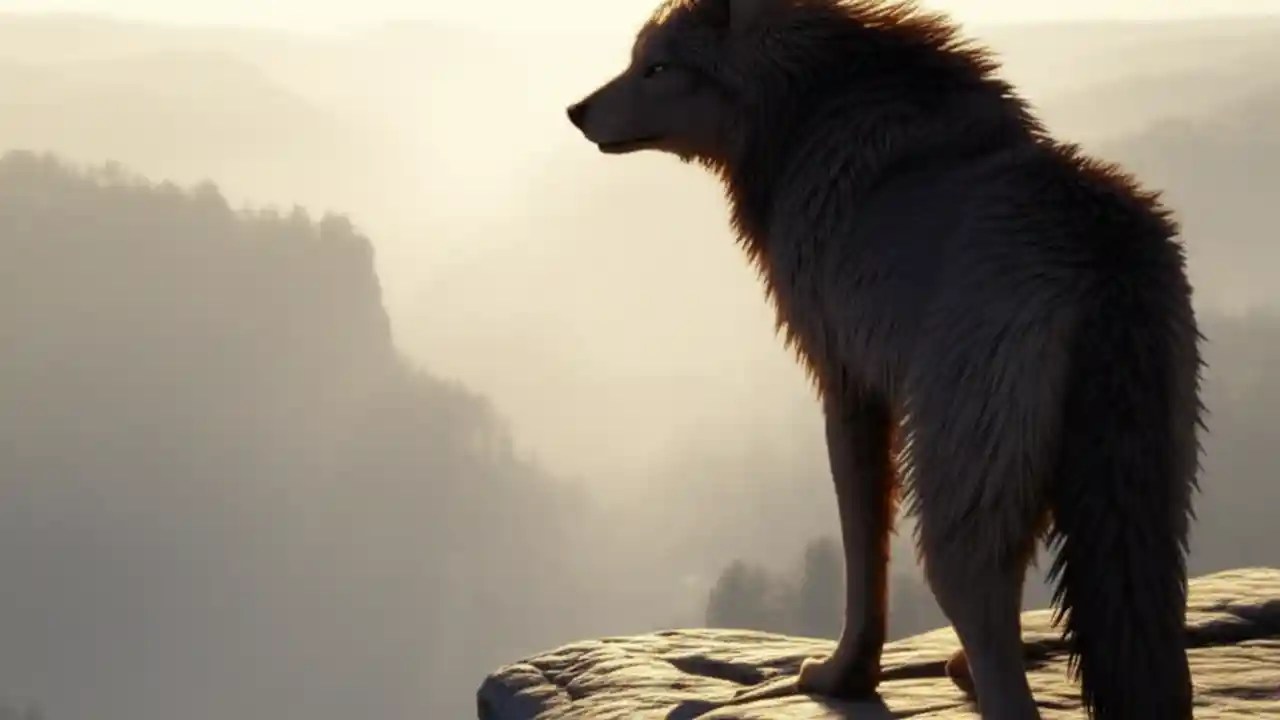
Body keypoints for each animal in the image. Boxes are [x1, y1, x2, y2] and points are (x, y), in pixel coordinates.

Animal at [566, 0, 1201, 718]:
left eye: (656, 67)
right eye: (637, 60)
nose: (575, 111)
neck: (807, 104)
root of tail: (1098, 256)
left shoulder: (847, 385)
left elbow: (862, 556)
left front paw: (844, 675)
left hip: (957, 495)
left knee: (990, 629)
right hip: (1145, 503)